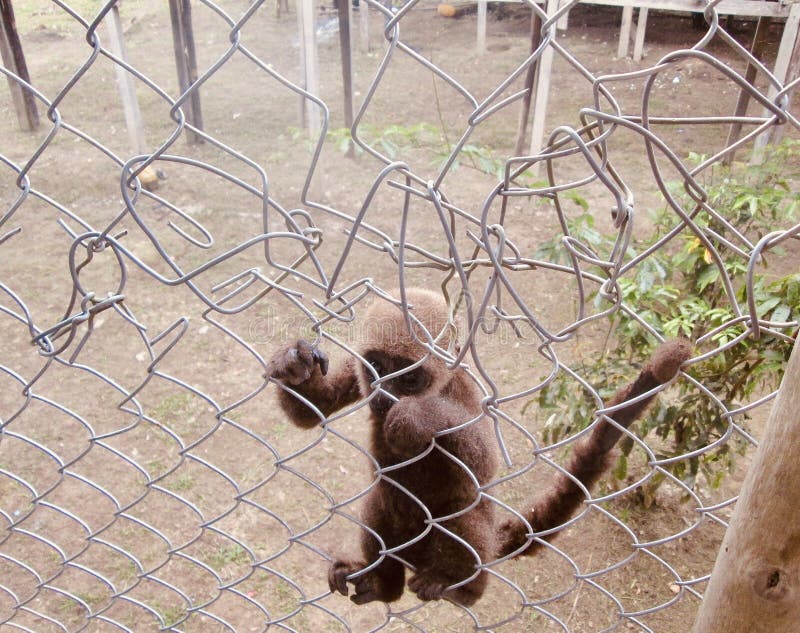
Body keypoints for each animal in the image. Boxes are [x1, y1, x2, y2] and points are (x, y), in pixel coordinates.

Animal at [266, 288, 691, 606]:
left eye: (409, 378)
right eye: (378, 369)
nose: (385, 394)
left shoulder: (462, 389)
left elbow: (483, 461)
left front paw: (417, 418)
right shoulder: (360, 378)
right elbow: (317, 409)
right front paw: (296, 365)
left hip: (467, 542)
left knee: (462, 514)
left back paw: (465, 590)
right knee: (379, 503)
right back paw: (385, 587)